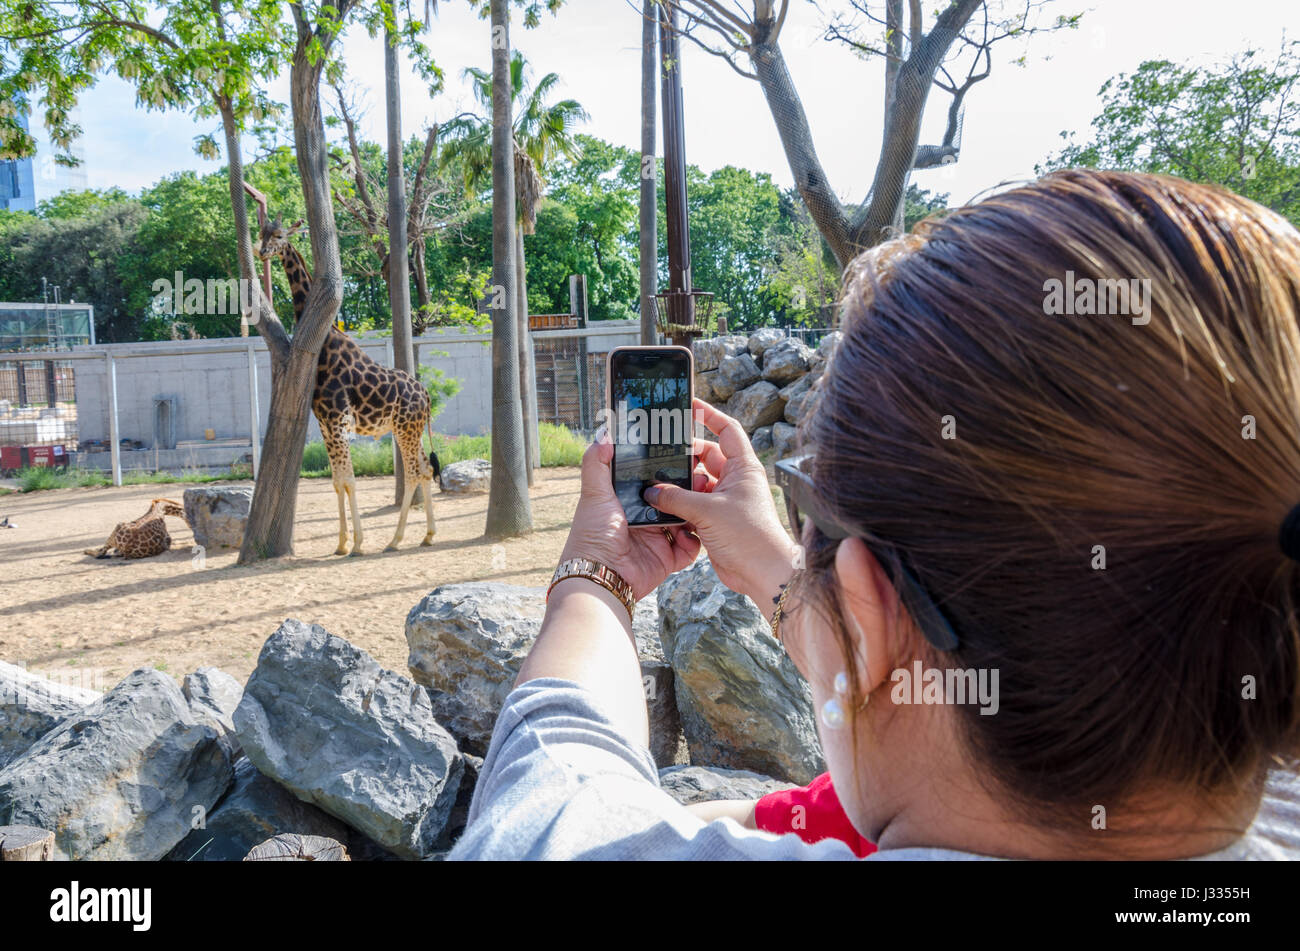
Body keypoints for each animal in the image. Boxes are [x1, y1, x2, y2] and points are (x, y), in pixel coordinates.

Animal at [255, 217, 441, 555]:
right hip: (411, 429)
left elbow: (350, 481)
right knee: (426, 468)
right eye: (261, 234)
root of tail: (426, 395)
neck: (326, 345)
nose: (261, 252)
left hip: (405, 429)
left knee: (413, 472)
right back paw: (428, 535)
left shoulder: (338, 421)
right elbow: (337, 481)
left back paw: (395, 540)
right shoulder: (325, 424)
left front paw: (357, 543)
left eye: (278, 235)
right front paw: (342, 543)